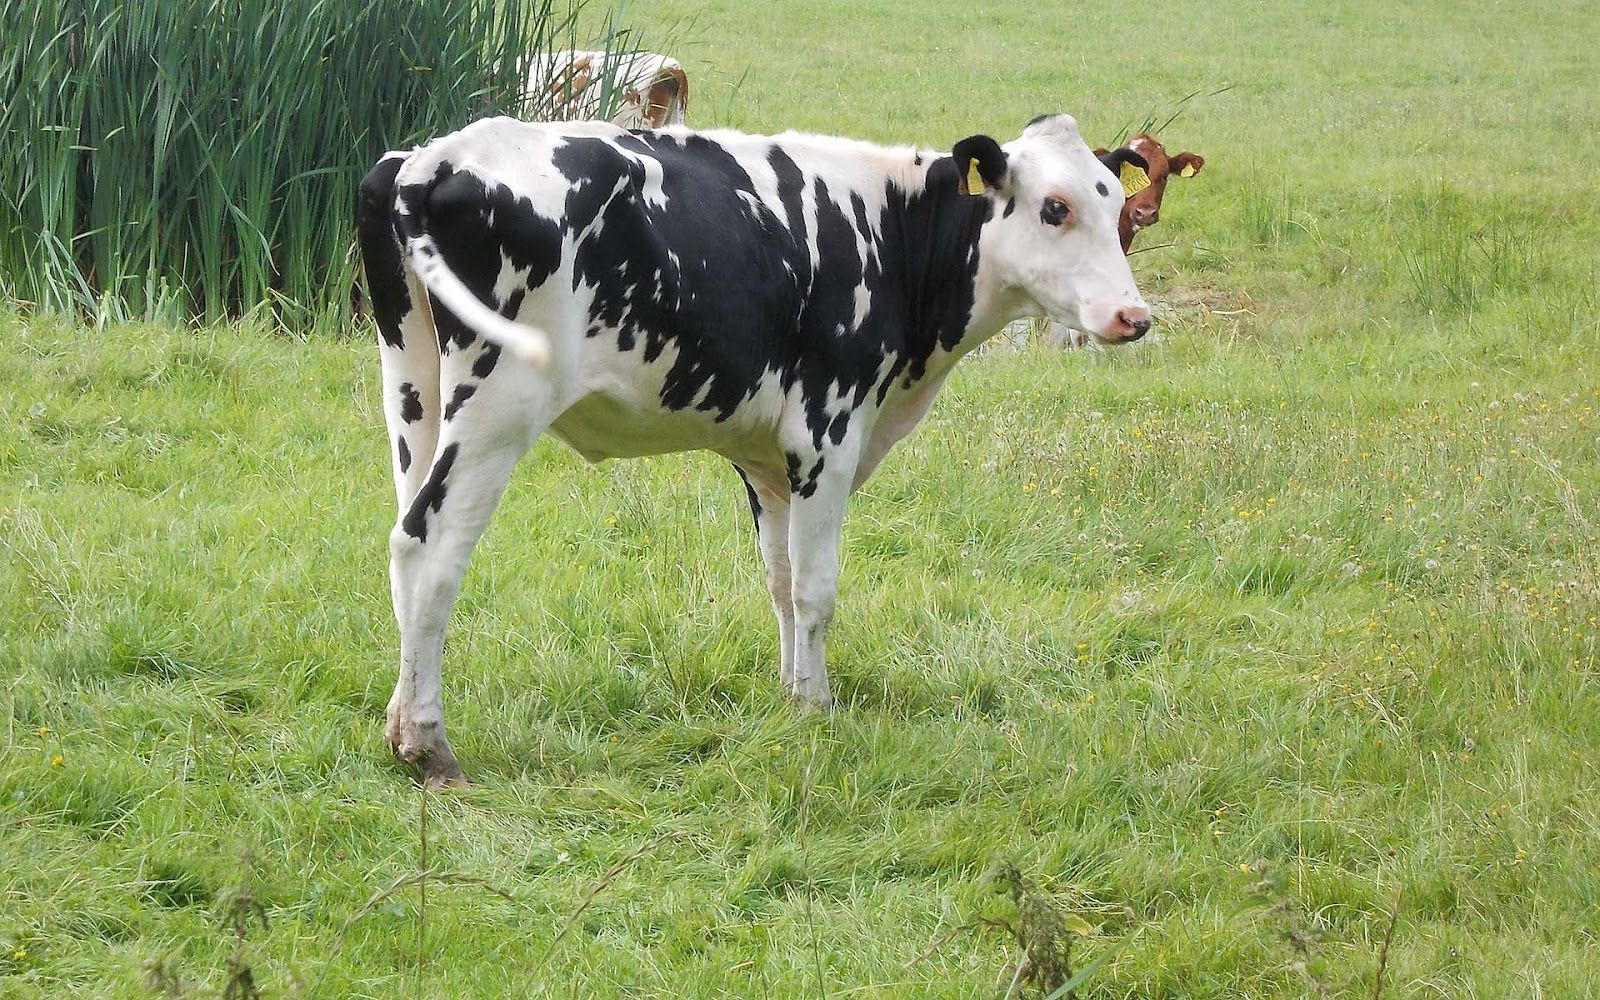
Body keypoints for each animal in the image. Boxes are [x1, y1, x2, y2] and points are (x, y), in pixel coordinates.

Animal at [357, 113, 1151, 787]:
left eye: (1118, 207)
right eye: (1055, 208)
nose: (1134, 317)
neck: (892, 232)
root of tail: (432, 158)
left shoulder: (767, 460)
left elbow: (780, 582)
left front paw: (790, 697)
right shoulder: (828, 430)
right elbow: (817, 587)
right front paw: (819, 709)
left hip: (414, 384)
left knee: (400, 544)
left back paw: (398, 721)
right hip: (499, 403)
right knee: (431, 545)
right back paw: (428, 742)